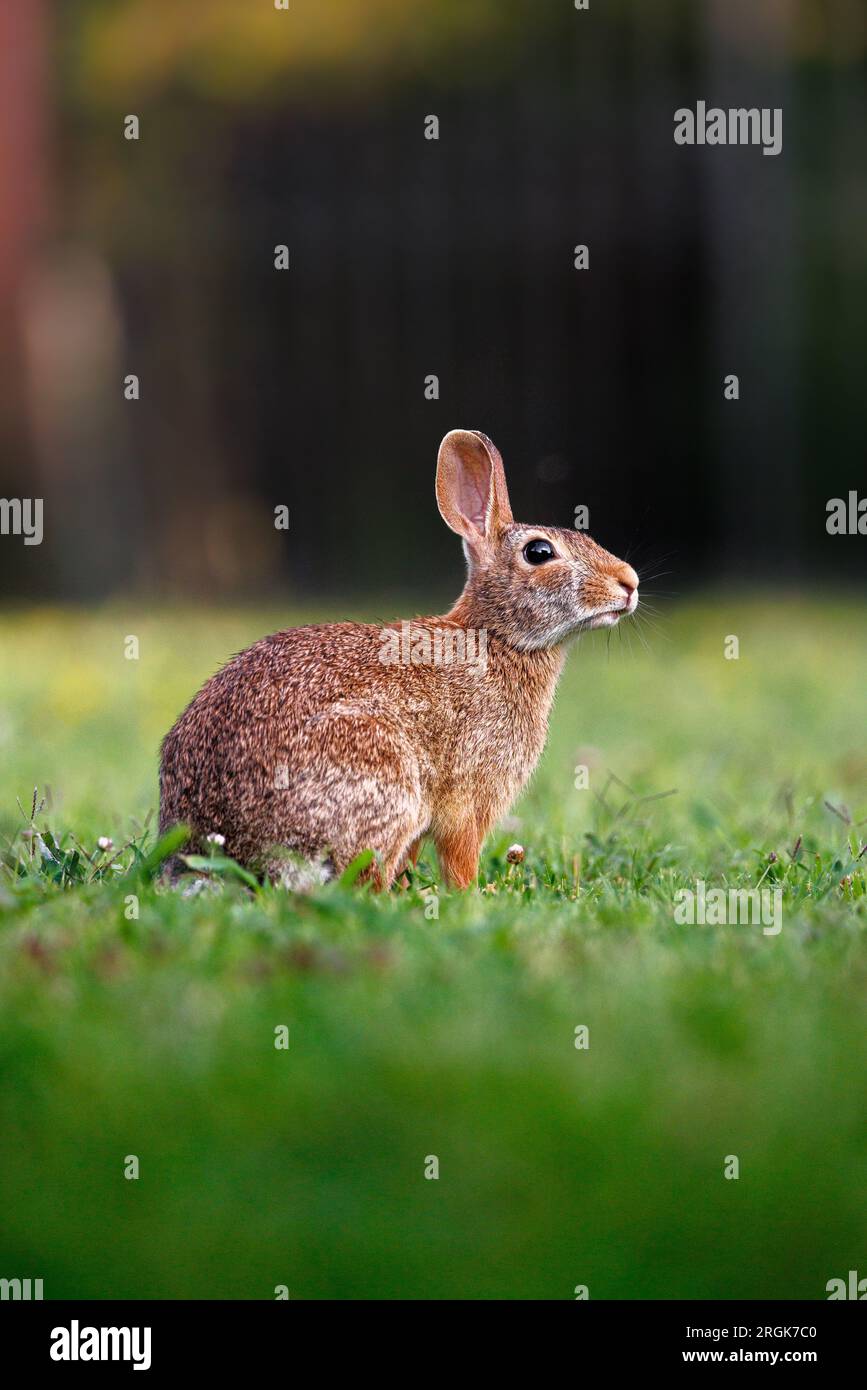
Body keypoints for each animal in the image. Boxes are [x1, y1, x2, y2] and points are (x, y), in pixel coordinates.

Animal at [159, 429, 638, 889]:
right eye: (539, 552)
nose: (629, 582)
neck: (498, 637)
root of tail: (225, 843)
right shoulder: (467, 797)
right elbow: (459, 857)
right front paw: (472, 896)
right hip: (380, 773)